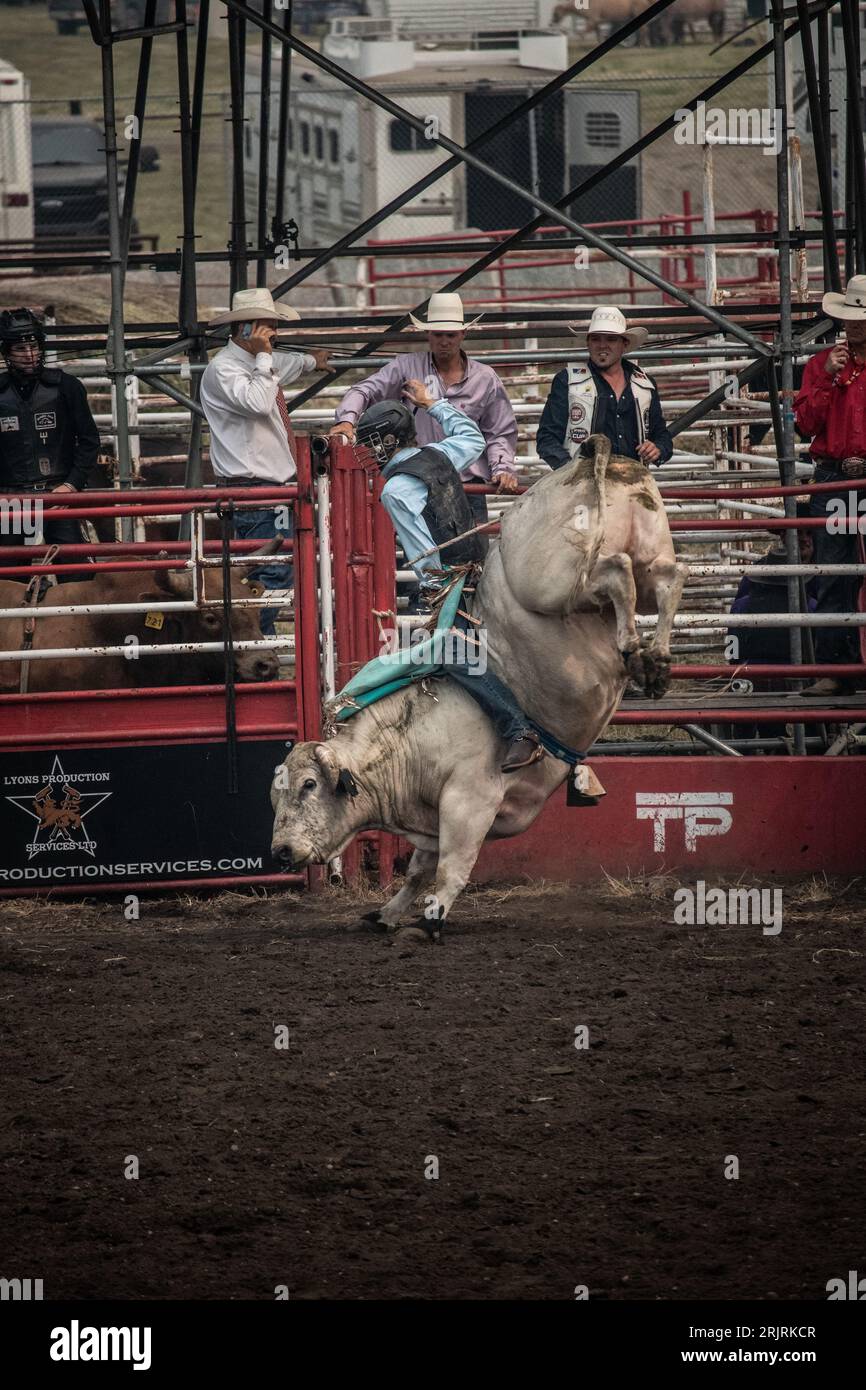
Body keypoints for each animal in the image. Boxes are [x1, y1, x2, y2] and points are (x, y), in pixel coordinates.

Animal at [271, 435, 686, 941]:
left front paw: (431, 918)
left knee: (615, 570)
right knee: (666, 577)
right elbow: (418, 869)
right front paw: (387, 913)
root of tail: (595, 457)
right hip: (646, 549)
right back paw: (654, 660)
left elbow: (451, 867)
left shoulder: (468, 800)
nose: (280, 851)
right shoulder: (432, 818)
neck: (407, 736)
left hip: (555, 580)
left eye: (309, 785)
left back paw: (633, 646)